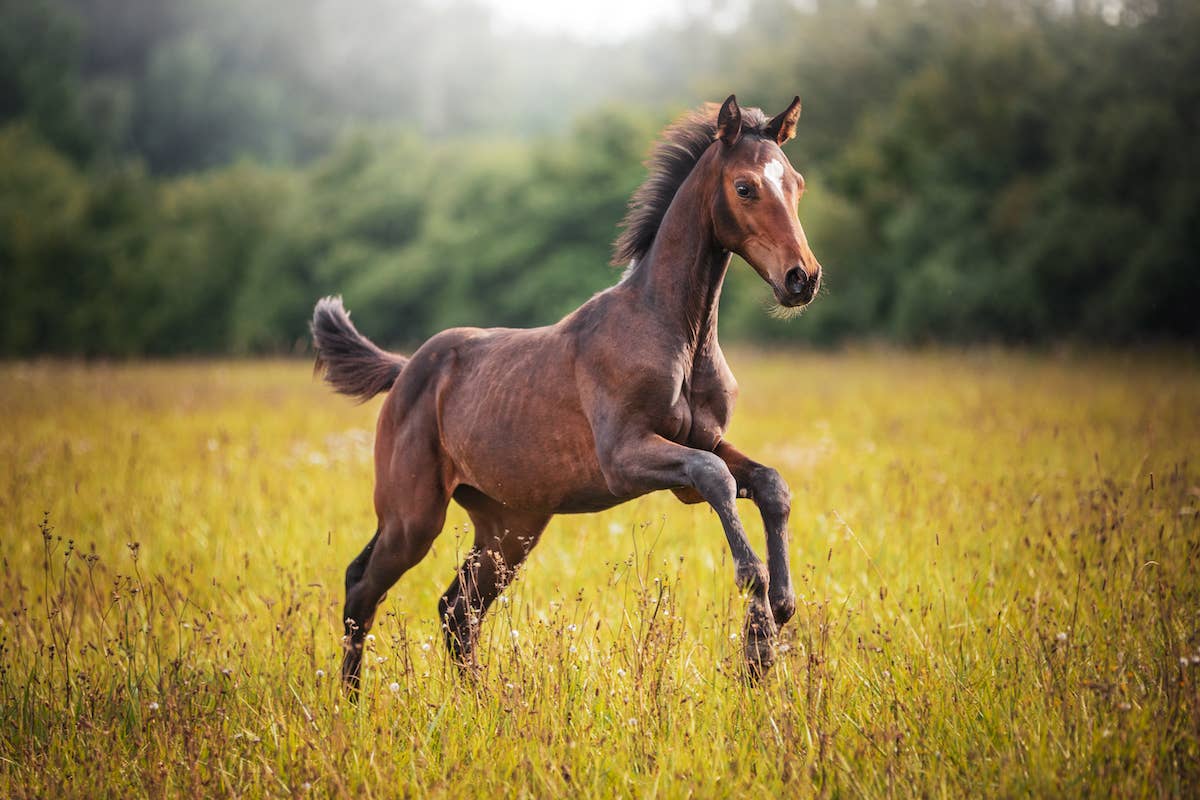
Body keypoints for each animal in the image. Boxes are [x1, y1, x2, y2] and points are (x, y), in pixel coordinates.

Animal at [312, 95, 822, 689]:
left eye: (797, 183)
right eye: (745, 187)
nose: (802, 279)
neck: (676, 333)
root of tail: (406, 369)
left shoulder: (705, 444)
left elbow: (768, 482)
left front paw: (777, 613)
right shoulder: (625, 457)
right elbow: (715, 477)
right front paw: (757, 618)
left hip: (509, 527)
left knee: (457, 609)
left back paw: (483, 701)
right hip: (412, 516)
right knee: (362, 586)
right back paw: (350, 700)